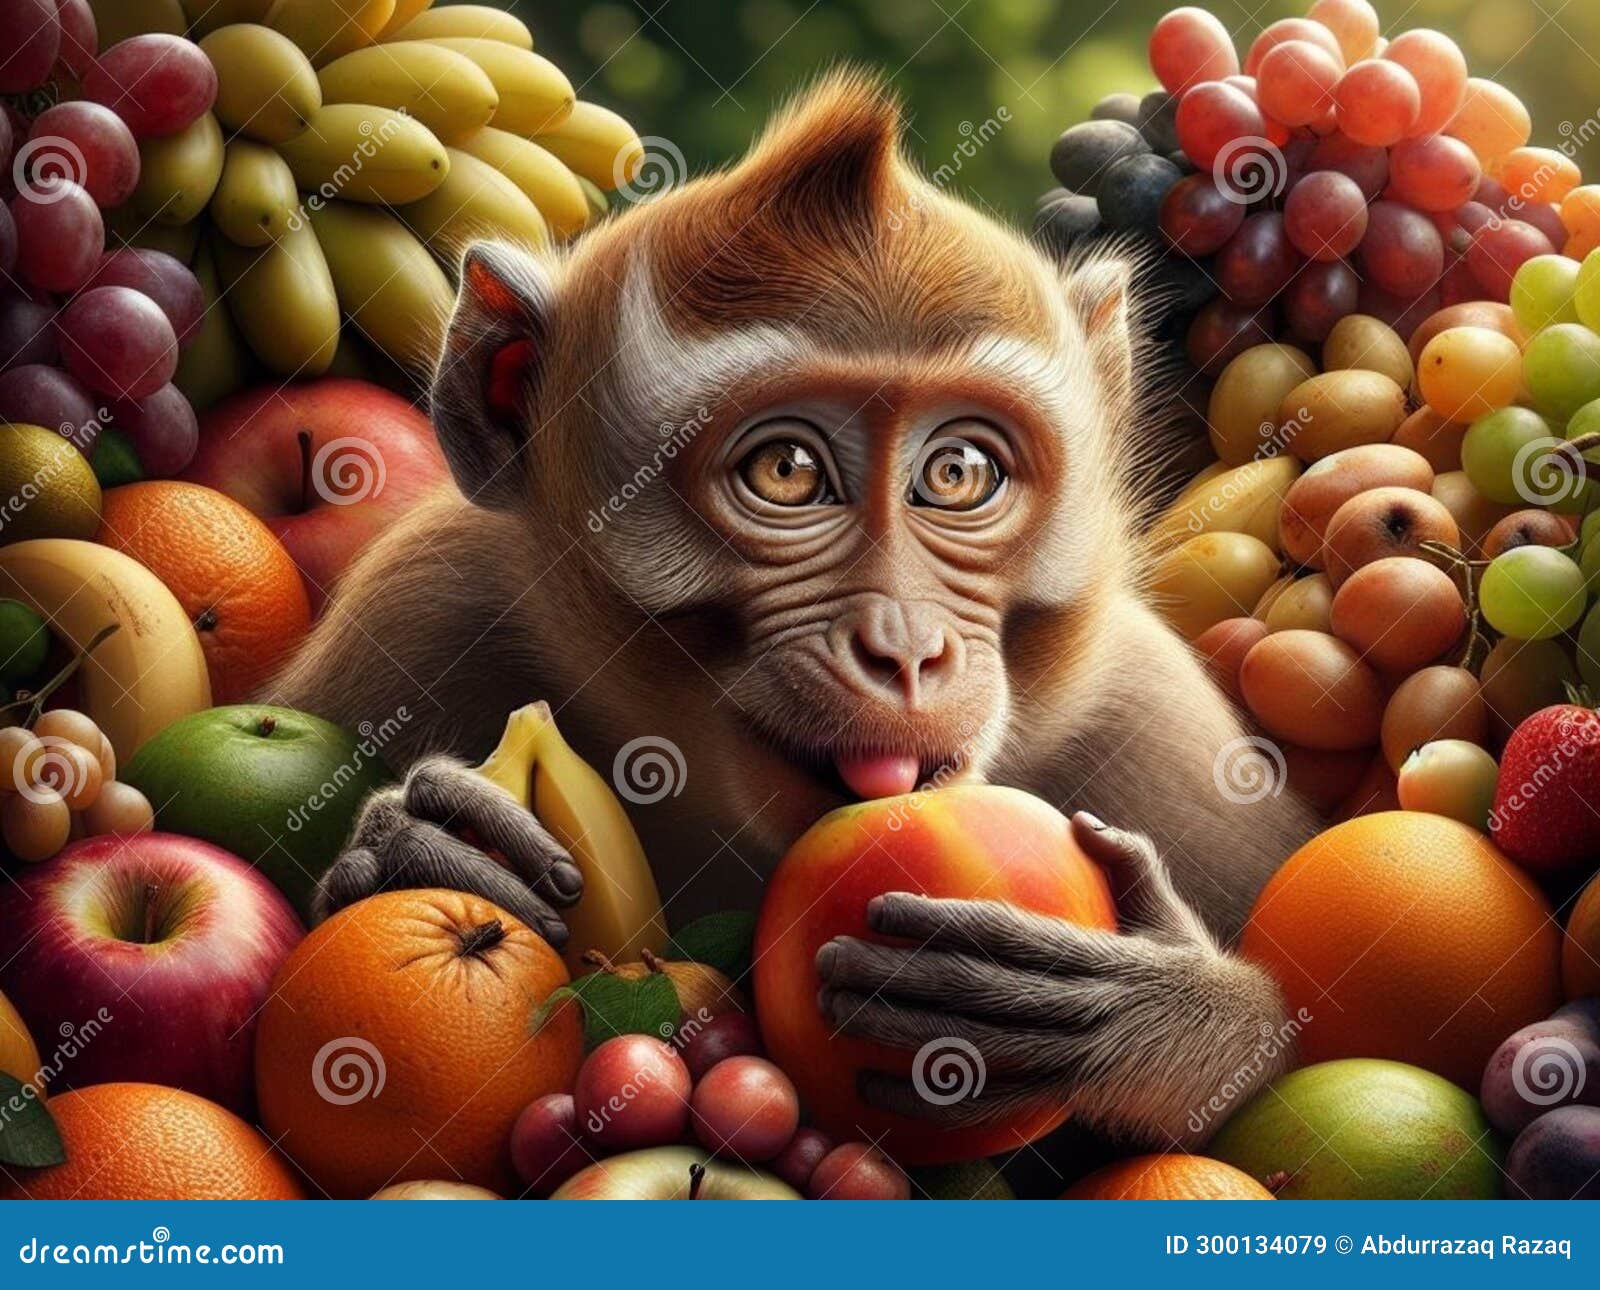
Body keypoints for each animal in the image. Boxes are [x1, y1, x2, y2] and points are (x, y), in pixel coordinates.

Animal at [268, 69, 1322, 1154]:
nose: (904, 651)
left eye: (957, 472)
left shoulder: (1159, 723)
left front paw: (1161, 1010)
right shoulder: (423, 607)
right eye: (785, 471)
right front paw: (411, 849)